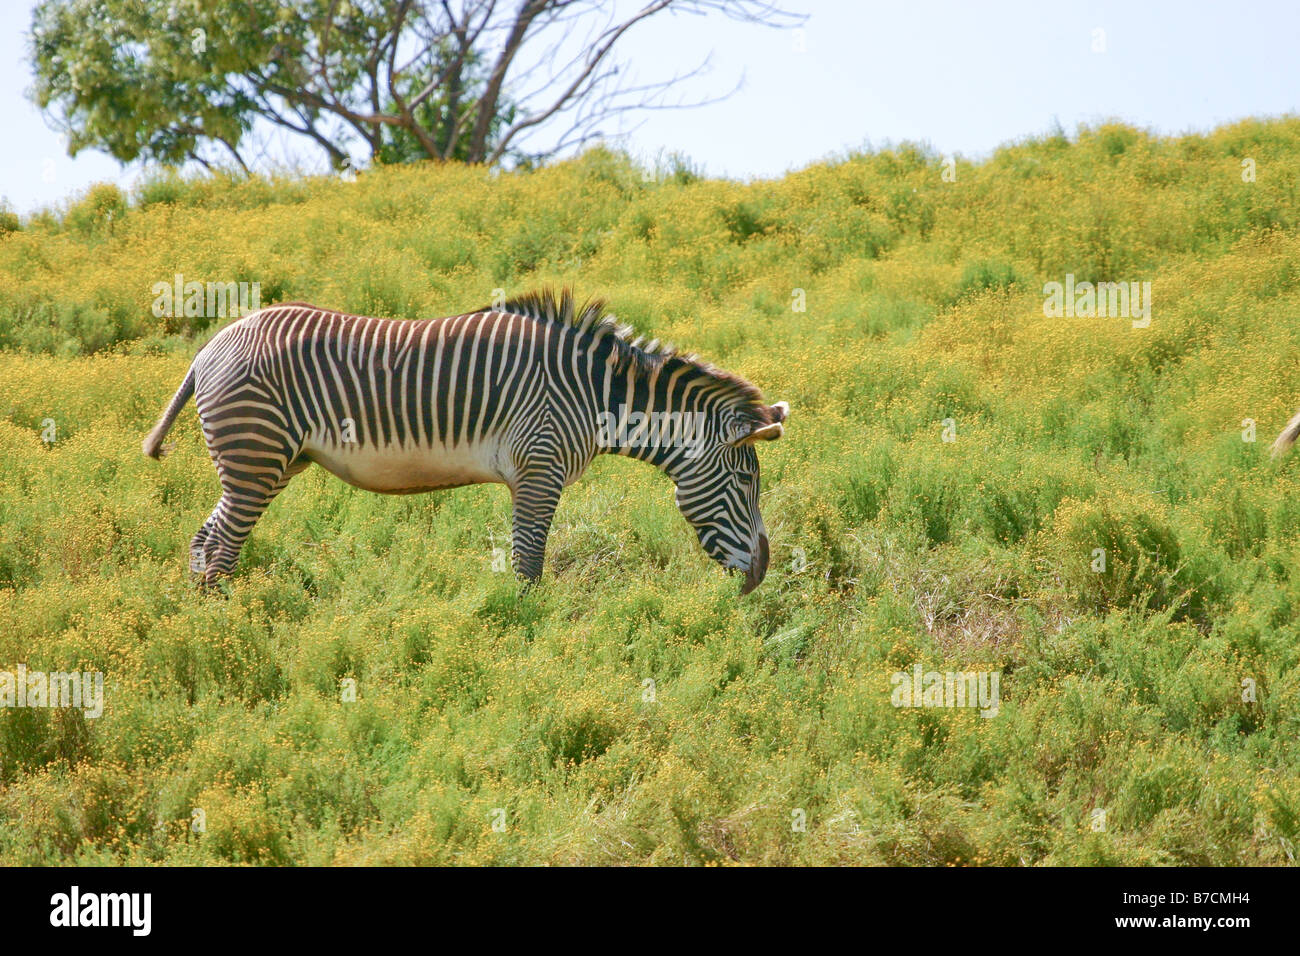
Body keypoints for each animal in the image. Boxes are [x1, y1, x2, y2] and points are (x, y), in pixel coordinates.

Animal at [142, 289, 789, 594]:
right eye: (745, 482)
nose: (760, 576)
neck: (592, 394)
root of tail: (211, 347)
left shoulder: (534, 473)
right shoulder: (540, 468)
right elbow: (529, 564)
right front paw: (527, 640)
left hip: (270, 463)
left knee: (206, 538)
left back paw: (206, 621)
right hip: (256, 456)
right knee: (222, 545)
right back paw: (231, 629)